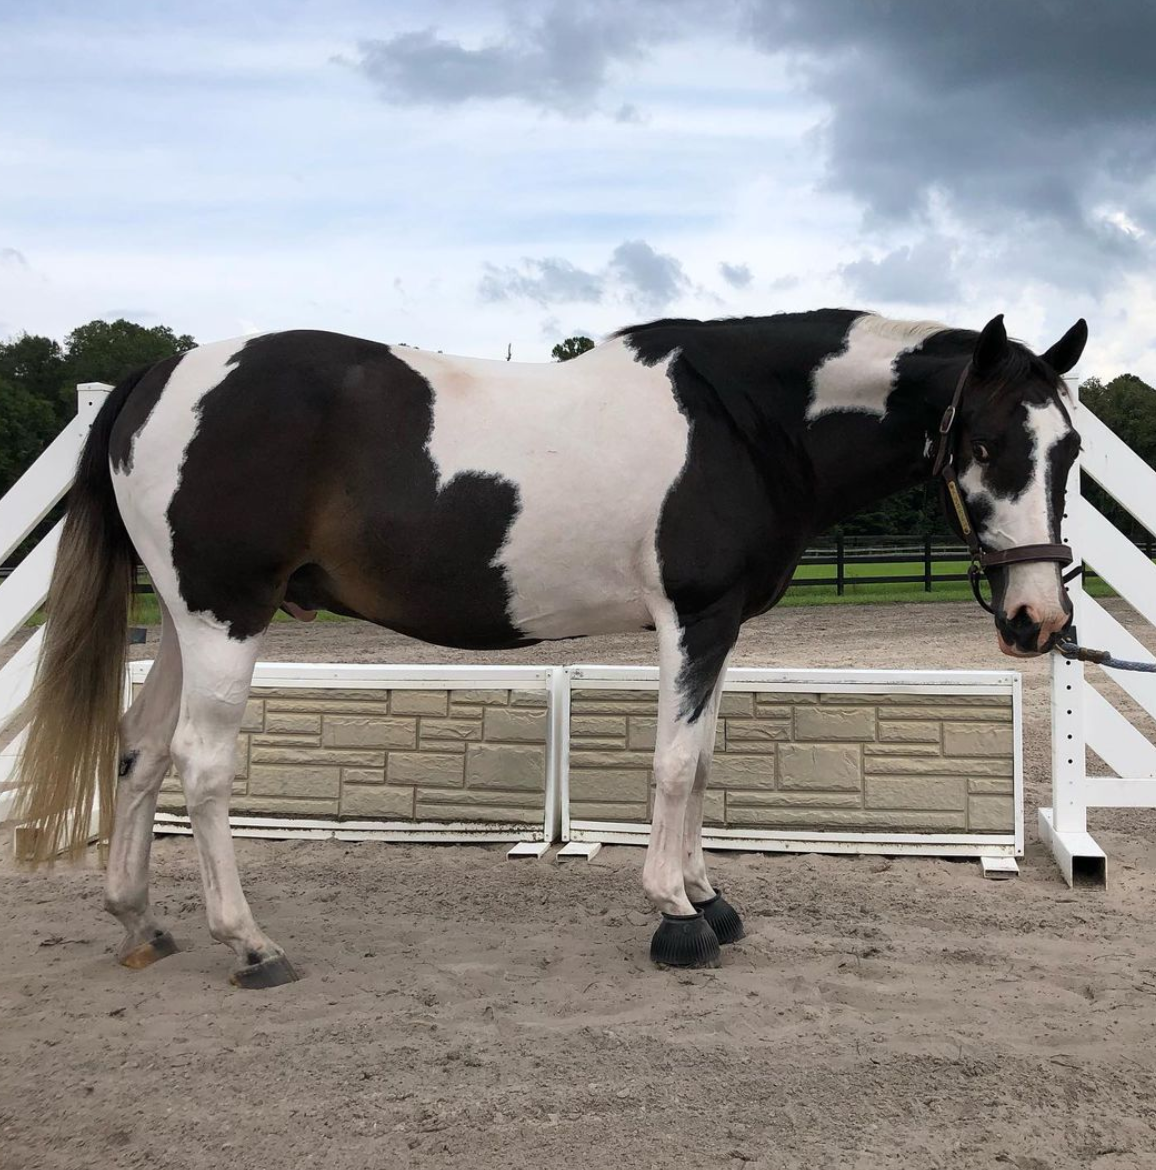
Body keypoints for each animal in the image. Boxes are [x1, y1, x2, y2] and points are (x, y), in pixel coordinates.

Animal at [13, 308, 1087, 986]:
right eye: (985, 443)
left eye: (1069, 449)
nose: (1037, 620)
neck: (744, 419)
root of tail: (157, 378)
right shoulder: (693, 618)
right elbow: (674, 764)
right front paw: (676, 917)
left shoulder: (720, 626)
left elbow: (701, 763)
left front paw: (710, 897)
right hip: (225, 618)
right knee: (199, 764)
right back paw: (250, 946)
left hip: (186, 622)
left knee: (140, 750)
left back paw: (140, 921)